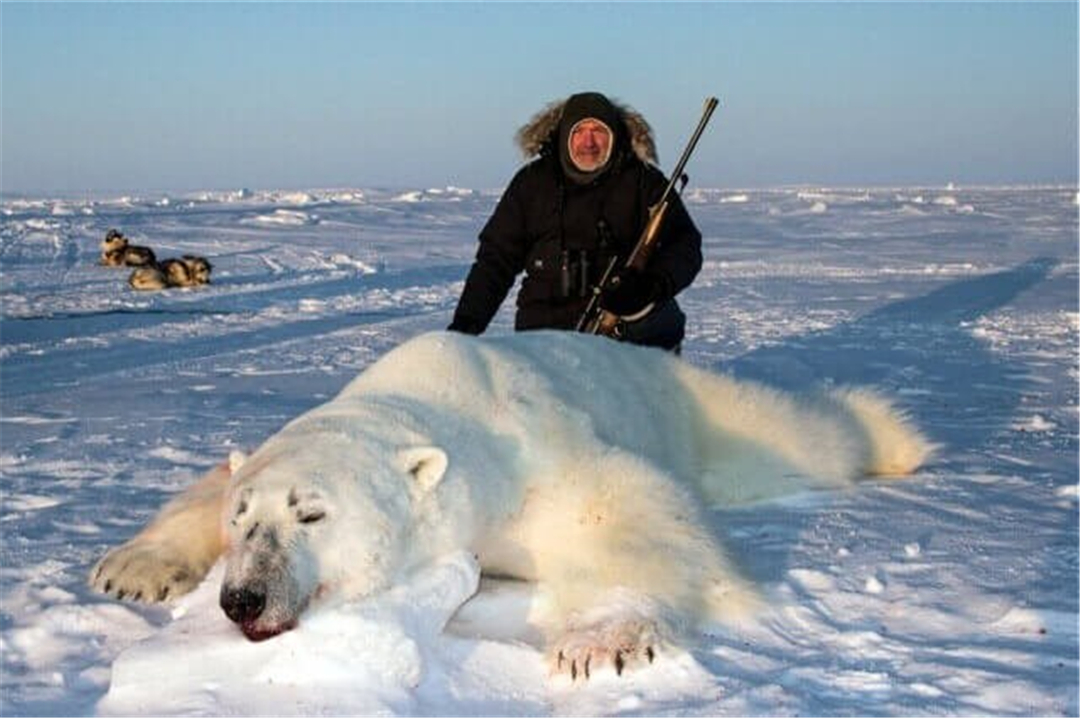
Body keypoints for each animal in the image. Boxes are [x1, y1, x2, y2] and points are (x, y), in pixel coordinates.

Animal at [89, 330, 934, 679]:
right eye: (243, 520)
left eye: (312, 514)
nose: (242, 598)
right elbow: (205, 481)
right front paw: (130, 570)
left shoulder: (533, 459)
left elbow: (627, 511)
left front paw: (598, 643)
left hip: (700, 415)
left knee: (789, 433)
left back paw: (896, 439)